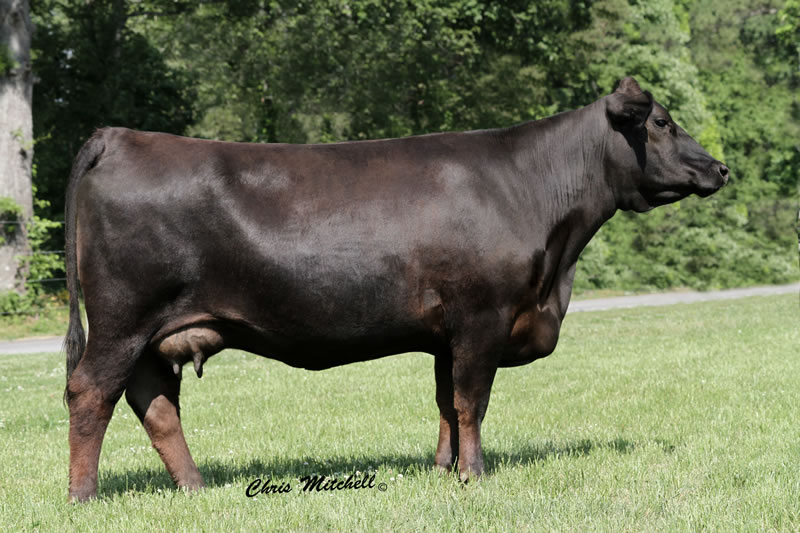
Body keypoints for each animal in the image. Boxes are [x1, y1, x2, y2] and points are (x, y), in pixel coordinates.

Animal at [63, 77, 728, 501]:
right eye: (662, 122)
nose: (720, 168)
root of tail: (119, 136)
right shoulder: (482, 317)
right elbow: (472, 401)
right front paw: (475, 477)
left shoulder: (445, 333)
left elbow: (445, 403)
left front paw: (442, 470)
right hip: (122, 319)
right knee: (91, 392)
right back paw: (83, 496)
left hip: (154, 334)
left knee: (154, 404)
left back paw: (197, 490)